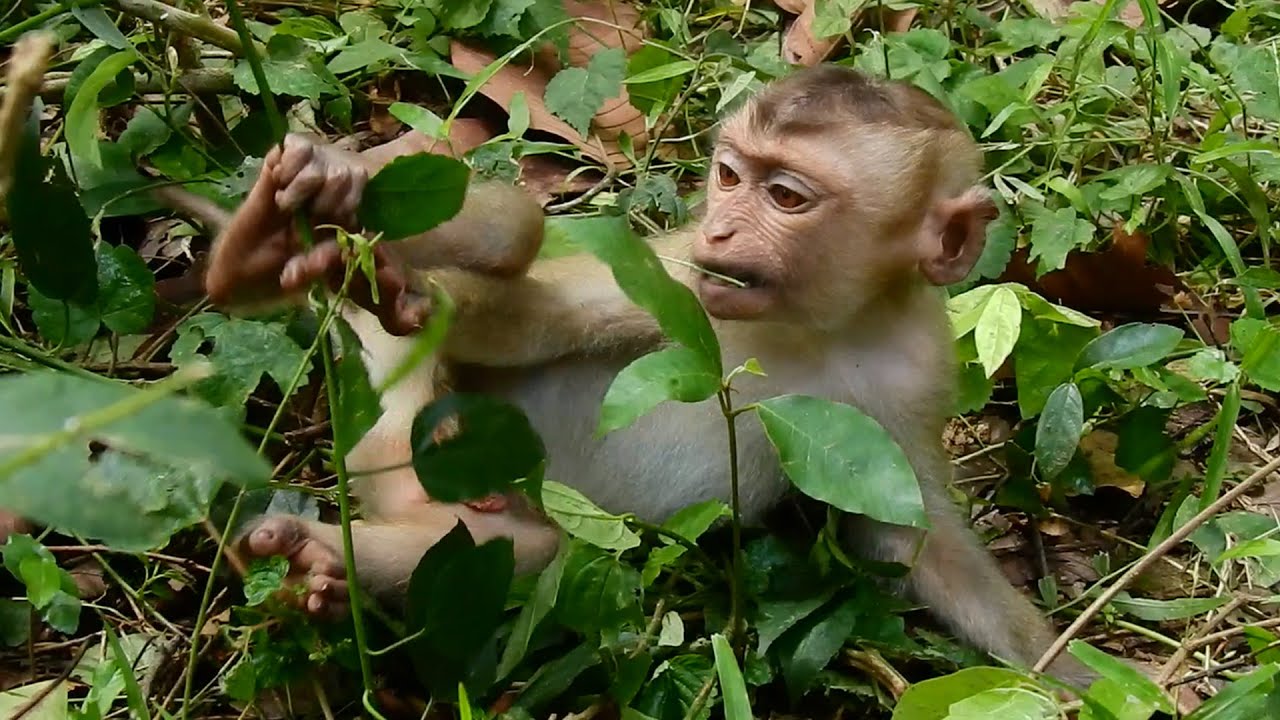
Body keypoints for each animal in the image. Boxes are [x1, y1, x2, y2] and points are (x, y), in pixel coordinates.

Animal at [170, 65, 1095, 685]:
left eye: (786, 197)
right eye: (729, 176)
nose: (723, 230)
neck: (826, 327)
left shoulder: (918, 368)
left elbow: (912, 539)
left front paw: (1074, 675)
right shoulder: (684, 283)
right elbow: (536, 314)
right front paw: (356, 229)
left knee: (521, 549)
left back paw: (323, 559)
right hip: (396, 438)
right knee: (500, 254)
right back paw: (264, 260)